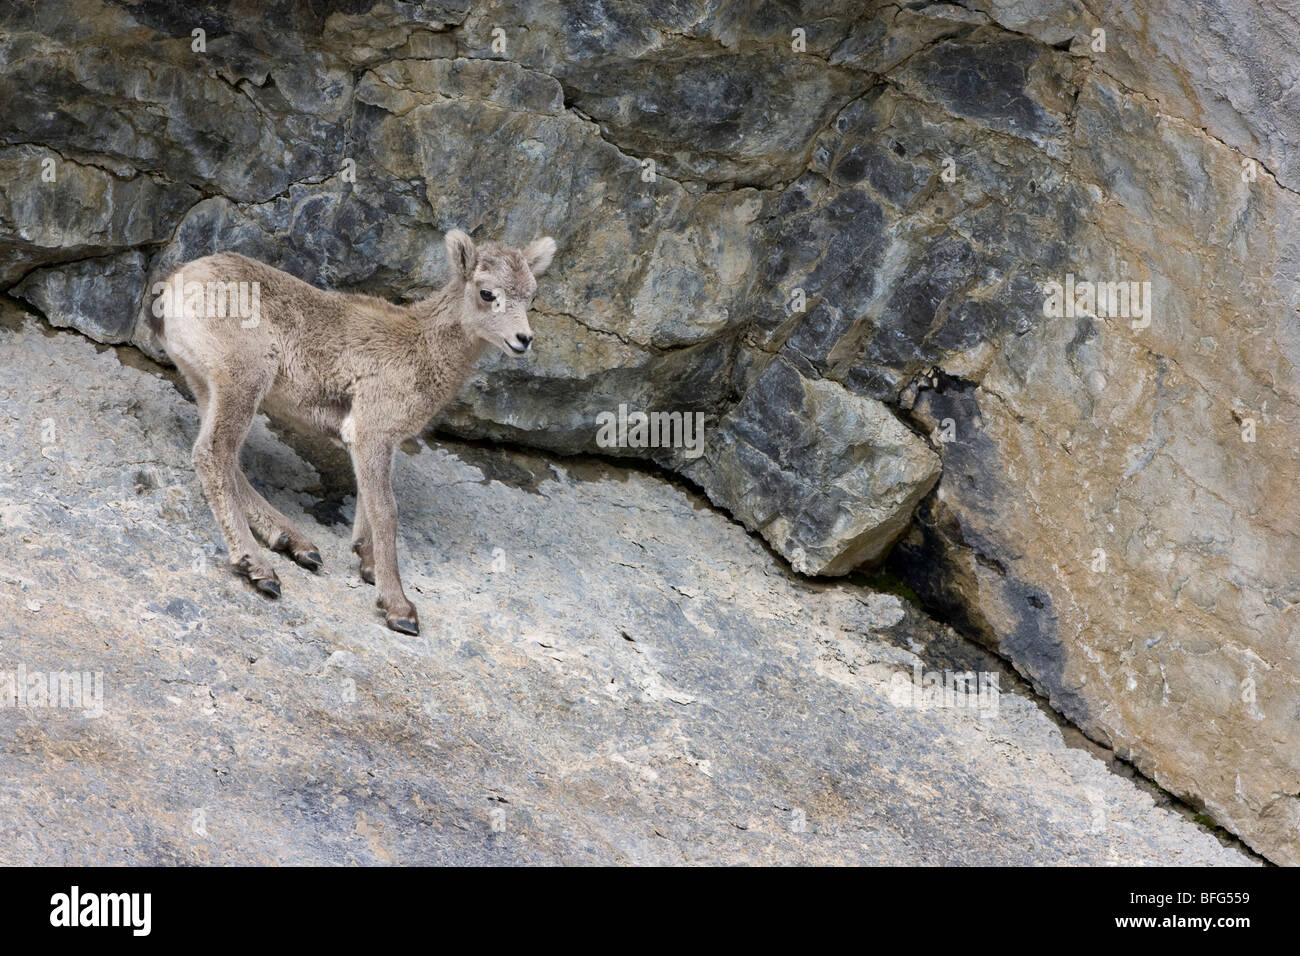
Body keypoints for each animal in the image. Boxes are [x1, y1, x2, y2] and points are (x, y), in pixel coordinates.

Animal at [150, 229, 556, 634]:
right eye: (487, 293)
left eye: (531, 295)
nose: (523, 339)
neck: (421, 350)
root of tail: (174, 285)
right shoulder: (371, 432)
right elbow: (386, 510)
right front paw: (399, 609)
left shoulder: (378, 442)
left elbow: (367, 502)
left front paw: (369, 566)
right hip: (242, 380)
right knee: (213, 453)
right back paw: (260, 569)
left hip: (207, 386)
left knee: (227, 461)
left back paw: (297, 545)